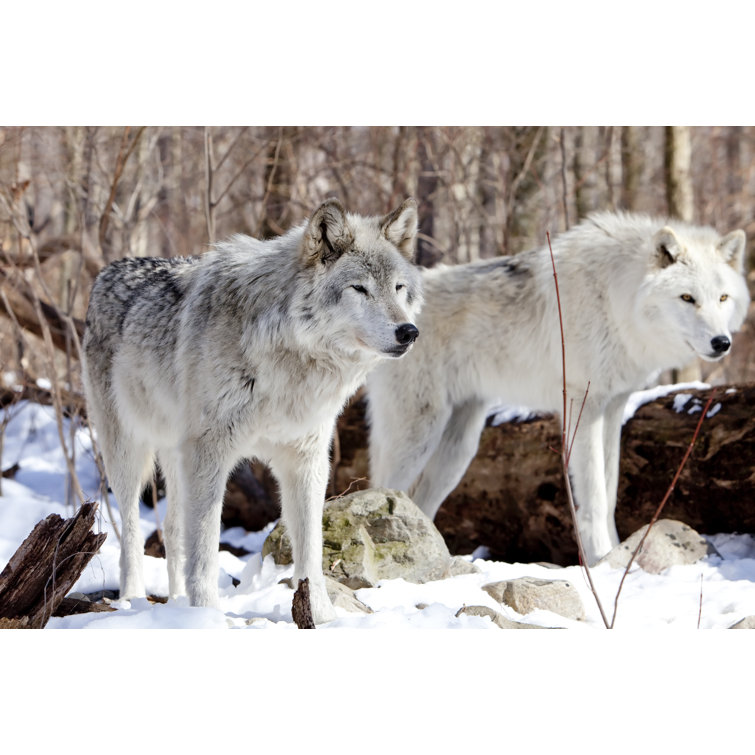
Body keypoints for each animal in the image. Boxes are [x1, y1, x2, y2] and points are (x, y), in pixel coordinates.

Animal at [82, 197, 422, 624]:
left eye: (398, 288)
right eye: (359, 289)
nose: (408, 331)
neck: (290, 359)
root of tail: (108, 270)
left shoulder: (306, 460)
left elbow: (311, 548)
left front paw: (321, 615)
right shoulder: (210, 454)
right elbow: (206, 549)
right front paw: (206, 617)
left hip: (177, 456)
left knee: (173, 530)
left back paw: (174, 604)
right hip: (127, 451)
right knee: (129, 530)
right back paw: (133, 600)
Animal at [367, 211, 749, 565]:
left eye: (723, 298)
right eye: (687, 298)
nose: (722, 343)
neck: (615, 297)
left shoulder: (614, 406)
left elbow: (609, 493)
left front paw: (615, 553)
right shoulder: (585, 405)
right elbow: (594, 497)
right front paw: (600, 559)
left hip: (458, 449)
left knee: (422, 502)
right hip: (419, 434)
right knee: (382, 489)